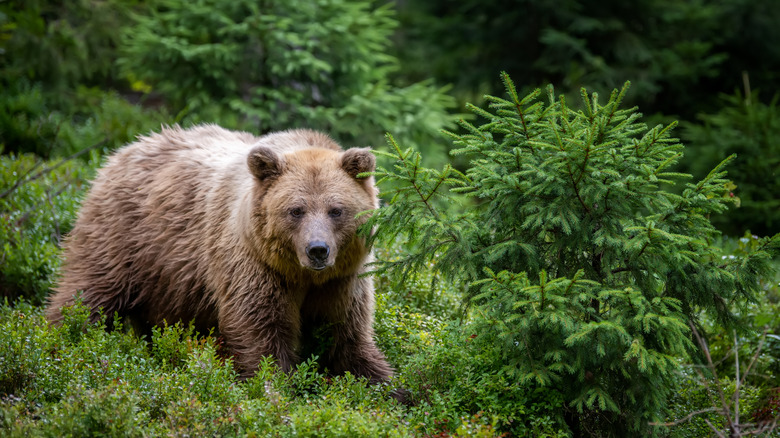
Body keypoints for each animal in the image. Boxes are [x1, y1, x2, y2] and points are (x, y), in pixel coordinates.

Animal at [46, 124, 394, 384]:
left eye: (336, 210)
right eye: (296, 210)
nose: (317, 250)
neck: (300, 275)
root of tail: (123, 150)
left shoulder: (343, 280)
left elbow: (347, 336)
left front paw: (386, 385)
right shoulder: (253, 265)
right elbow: (260, 331)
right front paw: (273, 385)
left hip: (167, 284)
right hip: (124, 240)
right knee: (87, 294)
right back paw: (59, 341)